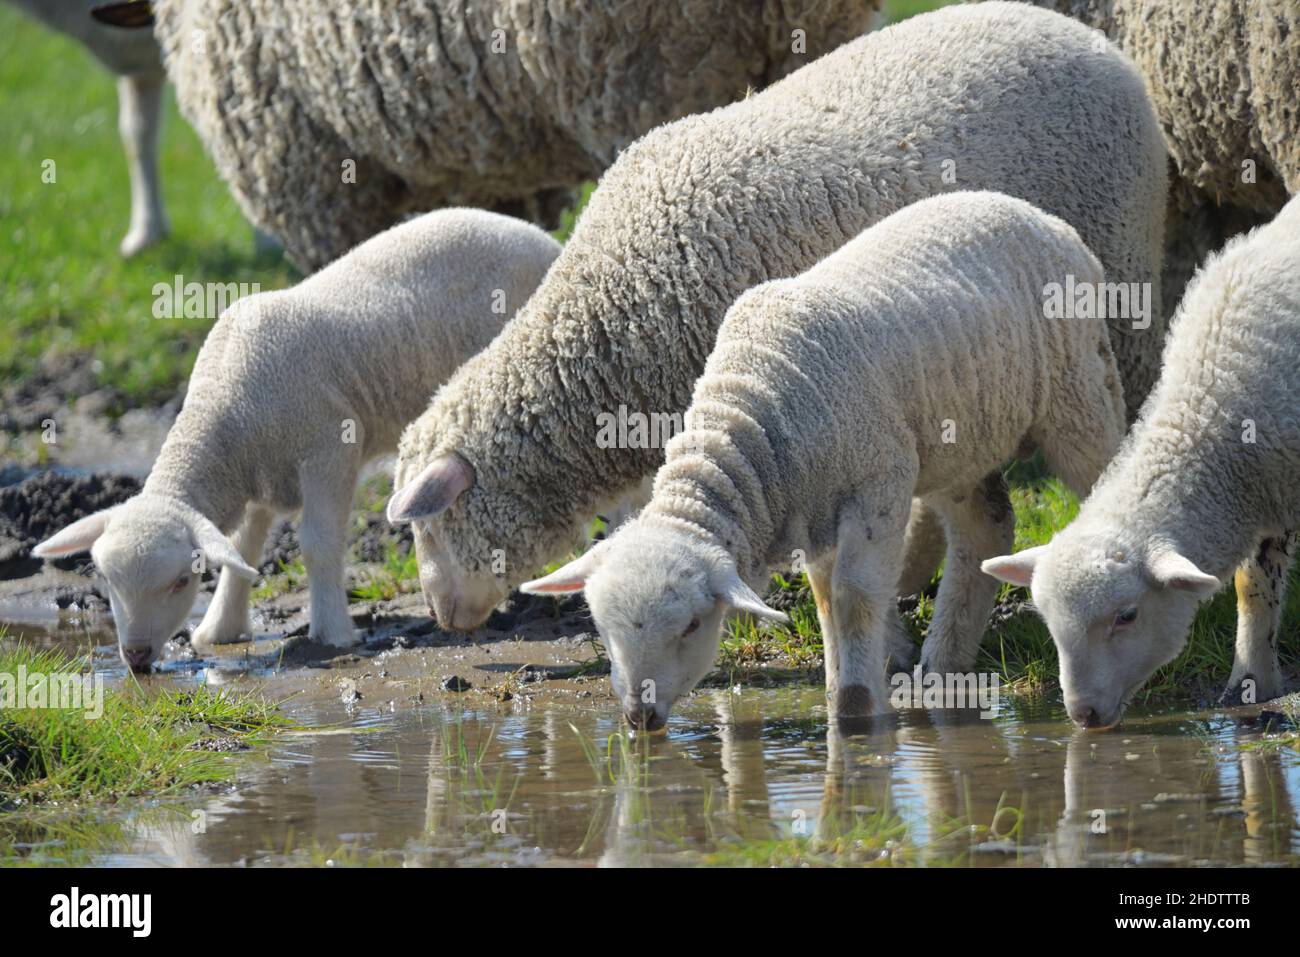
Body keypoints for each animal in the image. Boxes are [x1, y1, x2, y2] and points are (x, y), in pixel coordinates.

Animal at [30, 208, 561, 671]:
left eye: (182, 580)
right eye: (106, 581)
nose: (136, 656)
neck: (223, 415)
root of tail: (542, 237)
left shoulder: (329, 450)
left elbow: (317, 545)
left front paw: (332, 632)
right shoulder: (256, 475)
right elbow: (242, 551)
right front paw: (221, 629)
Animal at [520, 191, 1128, 725]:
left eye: (692, 625)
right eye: (603, 629)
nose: (639, 718)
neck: (750, 412)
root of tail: (1033, 213)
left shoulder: (879, 481)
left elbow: (855, 597)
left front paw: (857, 709)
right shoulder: (813, 513)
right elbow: (825, 601)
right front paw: (843, 690)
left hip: (1079, 390)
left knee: (1101, 472)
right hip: (962, 436)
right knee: (985, 529)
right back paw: (944, 664)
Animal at [982, 194, 1300, 729]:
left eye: (1127, 615)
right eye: (1050, 622)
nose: (1084, 714)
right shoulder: (1267, 491)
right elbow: (1253, 586)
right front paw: (1252, 682)